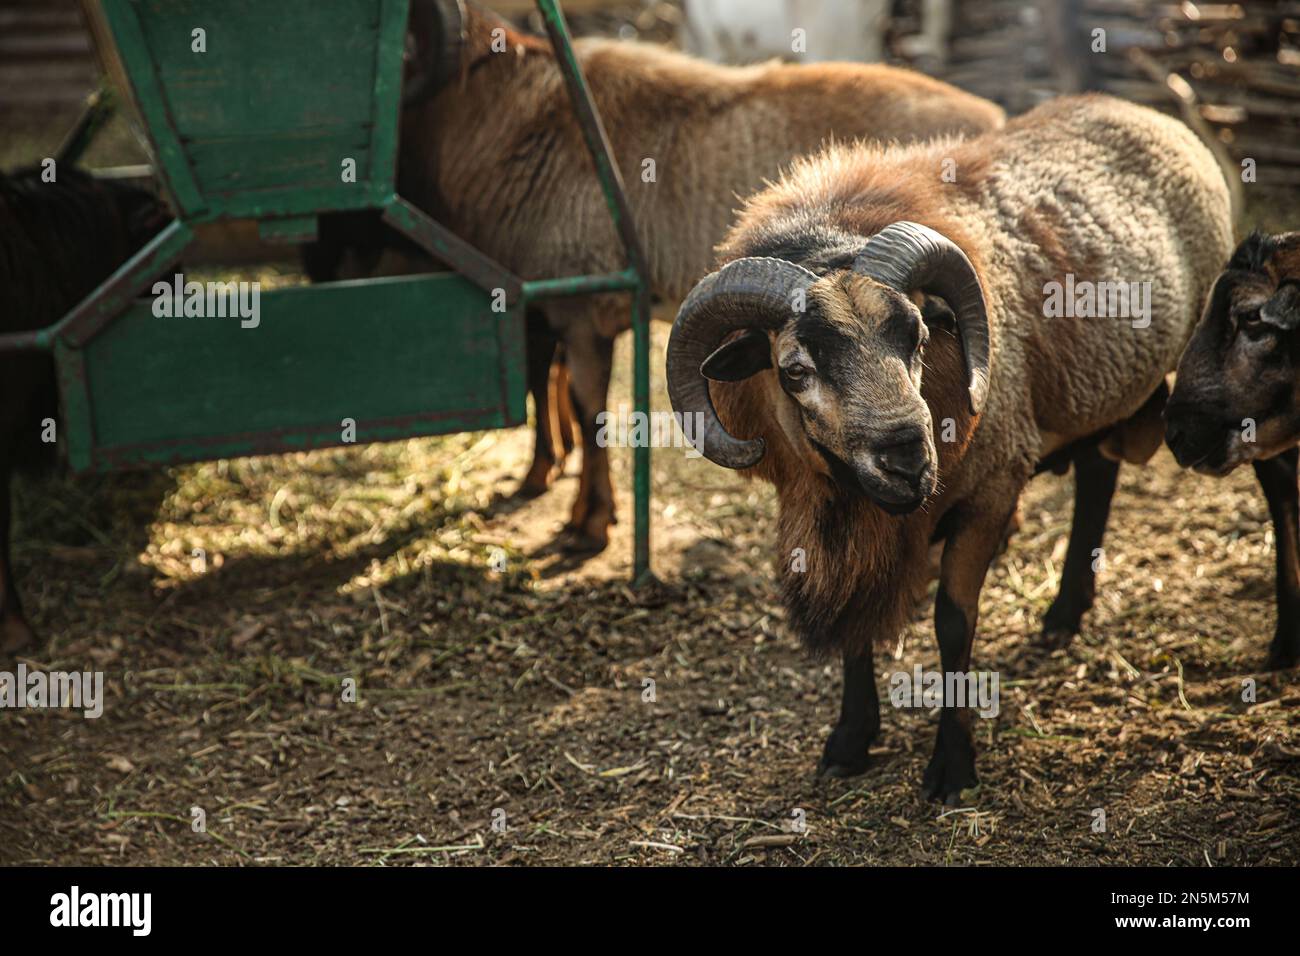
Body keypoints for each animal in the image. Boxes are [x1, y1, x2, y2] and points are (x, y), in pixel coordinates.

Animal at [343, 0, 1006, 553]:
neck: (498, 114)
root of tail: (992, 115)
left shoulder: (581, 310)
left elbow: (588, 408)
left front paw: (588, 525)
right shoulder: (541, 297)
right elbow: (546, 381)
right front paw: (546, 481)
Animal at [665, 93, 1235, 801]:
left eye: (916, 336)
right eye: (794, 370)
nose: (907, 459)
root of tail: (1145, 110)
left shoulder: (990, 491)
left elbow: (953, 623)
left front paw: (952, 767)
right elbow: (858, 627)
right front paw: (849, 743)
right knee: (1098, 475)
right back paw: (1064, 613)